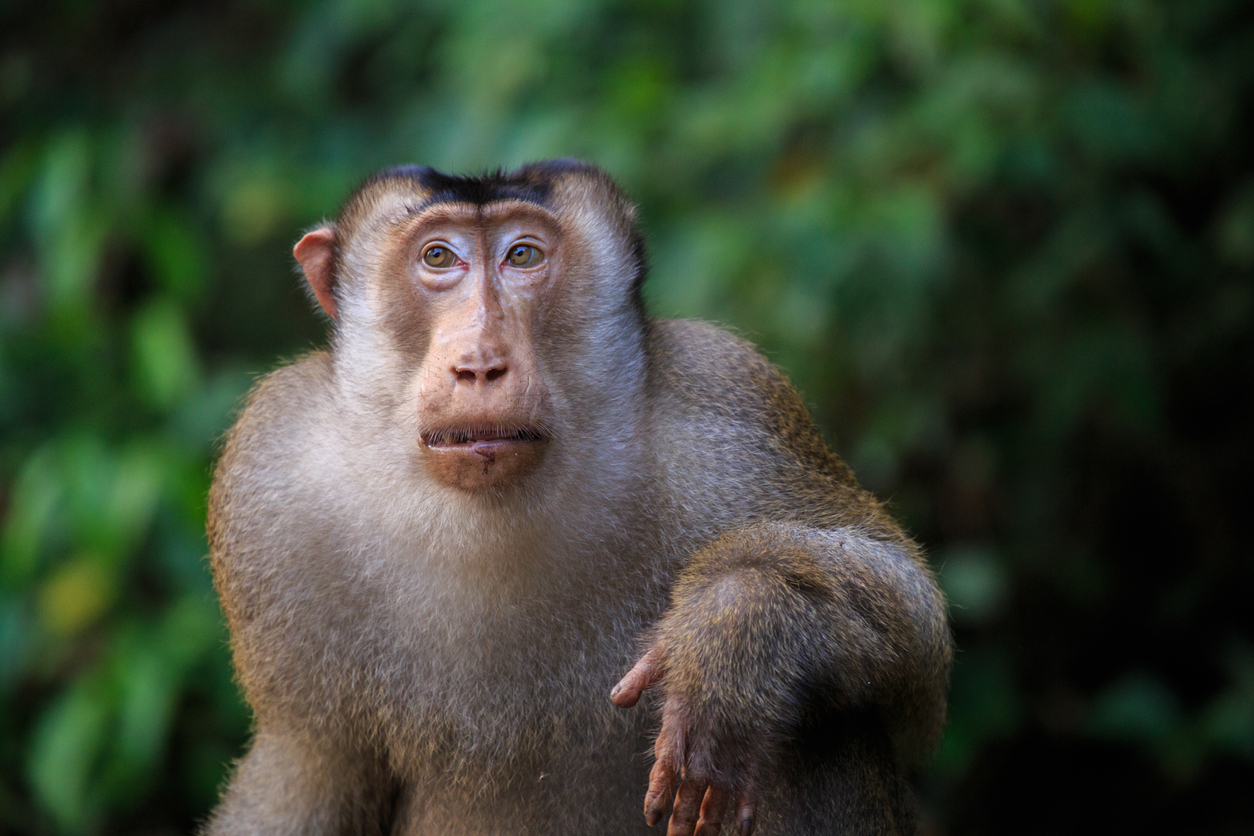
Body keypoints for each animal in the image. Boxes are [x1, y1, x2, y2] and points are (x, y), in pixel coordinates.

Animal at [204, 159, 951, 836]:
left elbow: (913, 630)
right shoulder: (270, 474)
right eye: (438, 256)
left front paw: (736, 630)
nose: (481, 364)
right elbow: (308, 770)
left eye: (523, 255)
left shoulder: (730, 403)